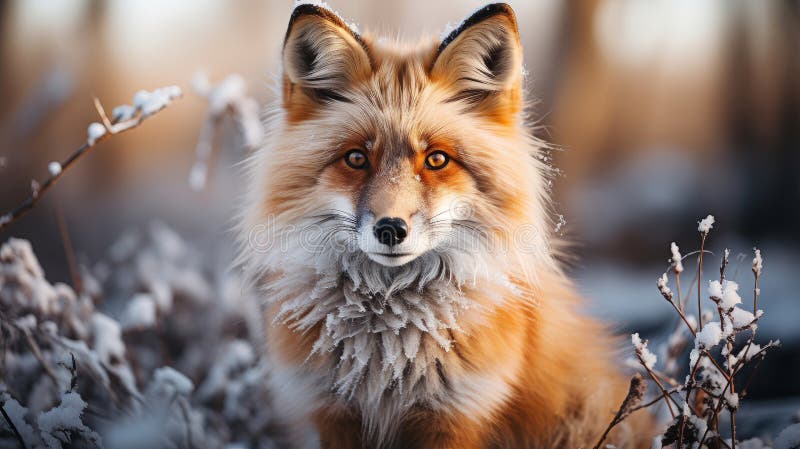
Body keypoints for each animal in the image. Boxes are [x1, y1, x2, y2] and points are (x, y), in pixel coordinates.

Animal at [238, 2, 652, 448]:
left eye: (436, 159)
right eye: (356, 159)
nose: (390, 229)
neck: (388, 352)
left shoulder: (456, 413)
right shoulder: (330, 412)